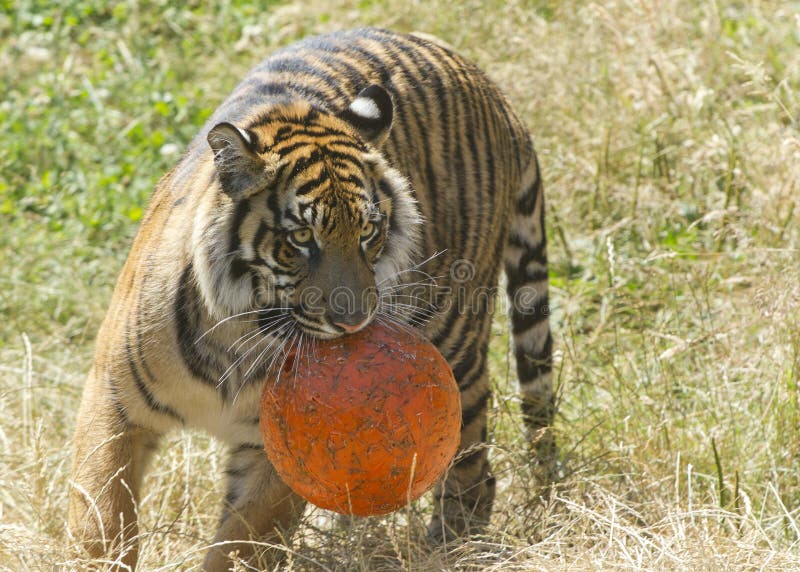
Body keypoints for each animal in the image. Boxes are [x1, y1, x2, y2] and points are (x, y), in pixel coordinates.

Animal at [68, 27, 554, 570]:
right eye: (301, 238)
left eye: (368, 232)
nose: (355, 322)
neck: (237, 337)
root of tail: (490, 87)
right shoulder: (113, 403)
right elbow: (99, 518)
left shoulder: (277, 447)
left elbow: (241, 544)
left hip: (454, 341)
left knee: (475, 468)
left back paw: (450, 546)